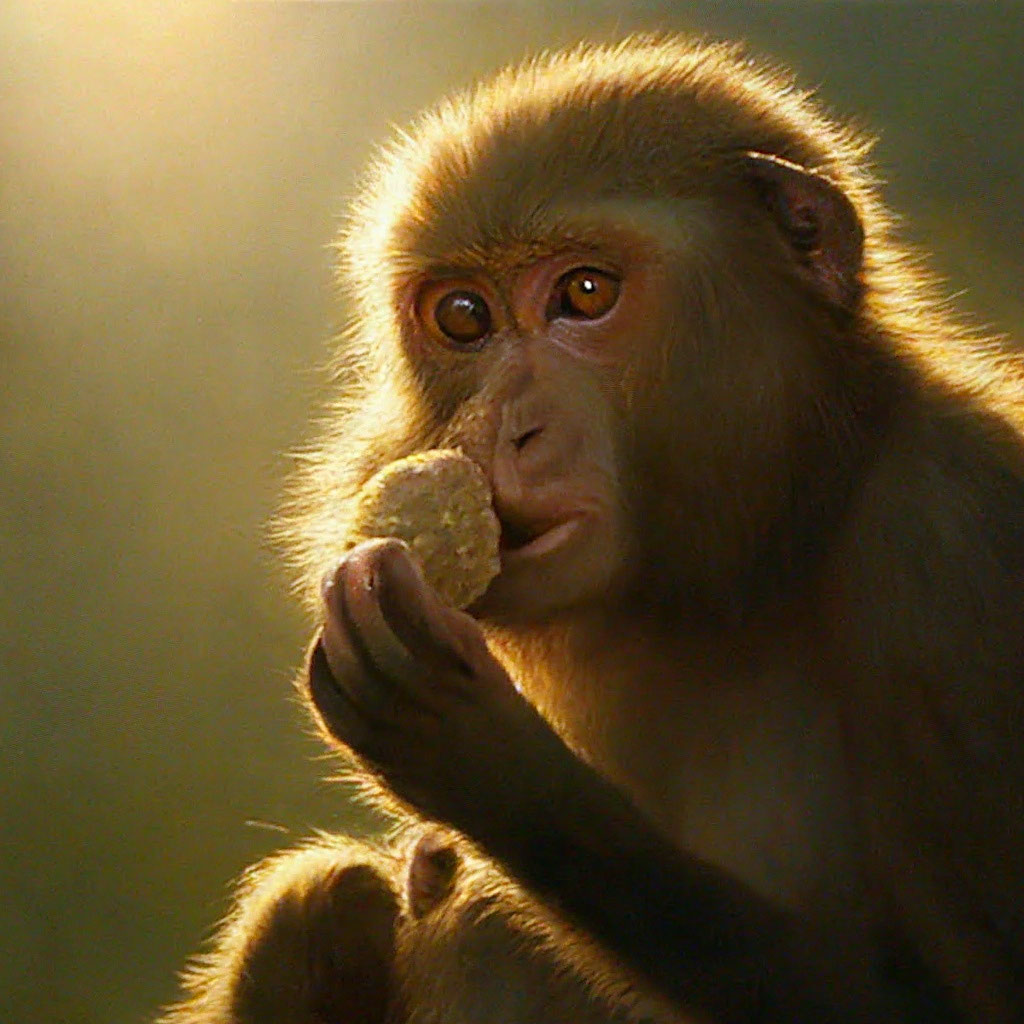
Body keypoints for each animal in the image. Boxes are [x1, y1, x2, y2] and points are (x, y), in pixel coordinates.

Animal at [161, 34, 1024, 1024]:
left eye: (584, 293)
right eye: (464, 316)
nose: (503, 427)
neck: (775, 532)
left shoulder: (949, 550)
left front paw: (492, 770)